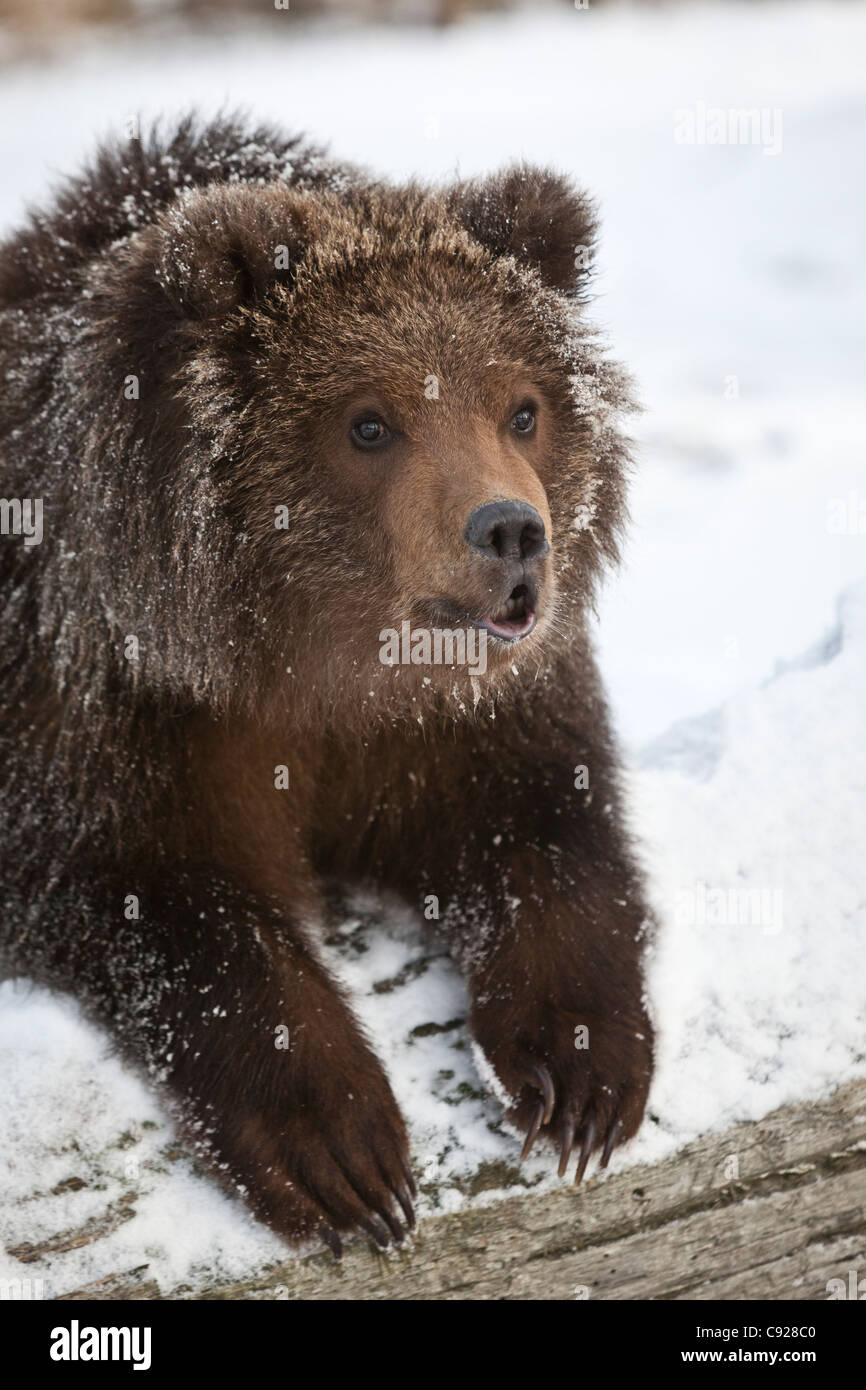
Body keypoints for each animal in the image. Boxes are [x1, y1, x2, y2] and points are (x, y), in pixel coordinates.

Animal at [0, 114, 654, 1256]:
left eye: (522, 407)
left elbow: (545, 823)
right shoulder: (105, 698)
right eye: (369, 422)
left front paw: (581, 1073)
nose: (510, 532)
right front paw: (344, 1150)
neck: (313, 667)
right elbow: (155, 891)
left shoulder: (466, 712)